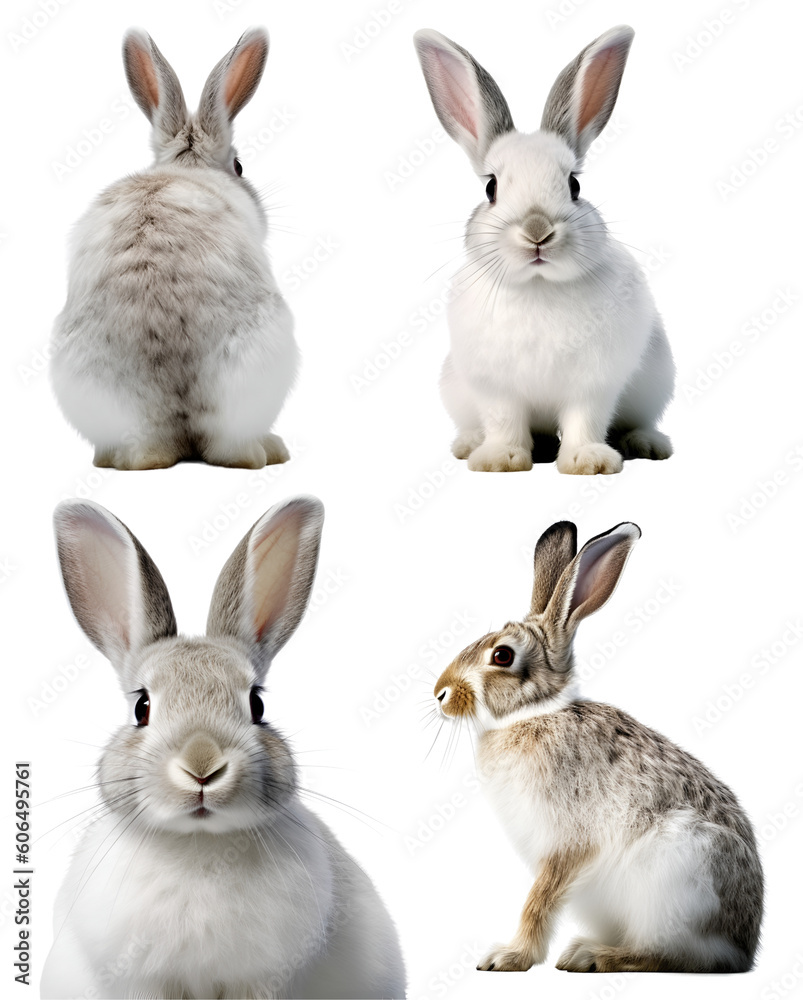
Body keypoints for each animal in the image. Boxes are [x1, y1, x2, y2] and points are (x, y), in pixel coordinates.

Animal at [41, 496, 406, 999]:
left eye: (257, 704)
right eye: (141, 707)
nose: (202, 766)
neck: (200, 844)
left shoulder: (260, 980)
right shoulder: (143, 980)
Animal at [413, 26, 675, 474]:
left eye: (574, 185)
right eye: (491, 188)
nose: (537, 231)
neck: (538, 286)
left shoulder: (593, 384)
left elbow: (585, 421)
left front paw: (588, 462)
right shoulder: (496, 388)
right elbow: (504, 421)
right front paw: (500, 460)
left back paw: (646, 443)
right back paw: (469, 443)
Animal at [432, 520, 763, 973]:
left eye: (502, 656)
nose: (440, 694)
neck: (534, 714)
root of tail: (742, 947)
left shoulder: (569, 843)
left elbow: (539, 900)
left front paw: (508, 958)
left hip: (675, 877)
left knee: (670, 954)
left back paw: (590, 955)